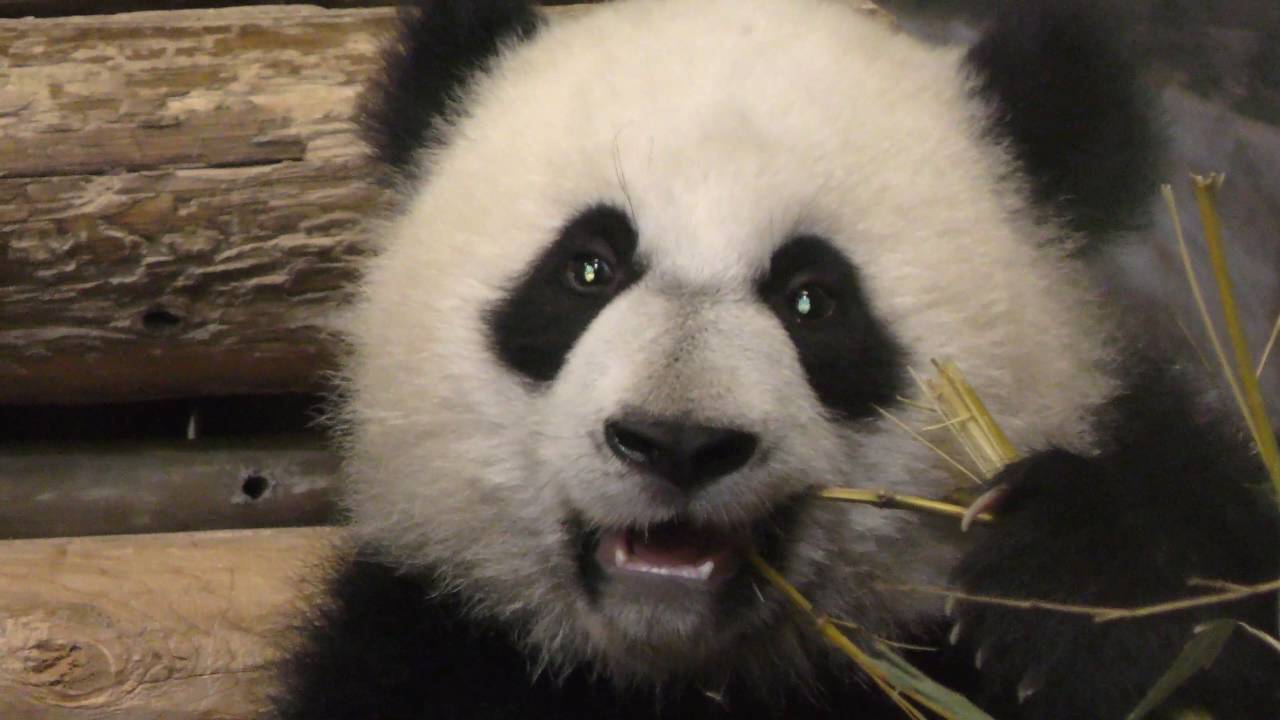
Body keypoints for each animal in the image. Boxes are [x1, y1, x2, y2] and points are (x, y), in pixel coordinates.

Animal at [274, 1, 1280, 718]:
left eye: (812, 298)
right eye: (587, 268)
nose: (677, 442)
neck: (689, 672)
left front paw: (1073, 590)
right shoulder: (421, 641)